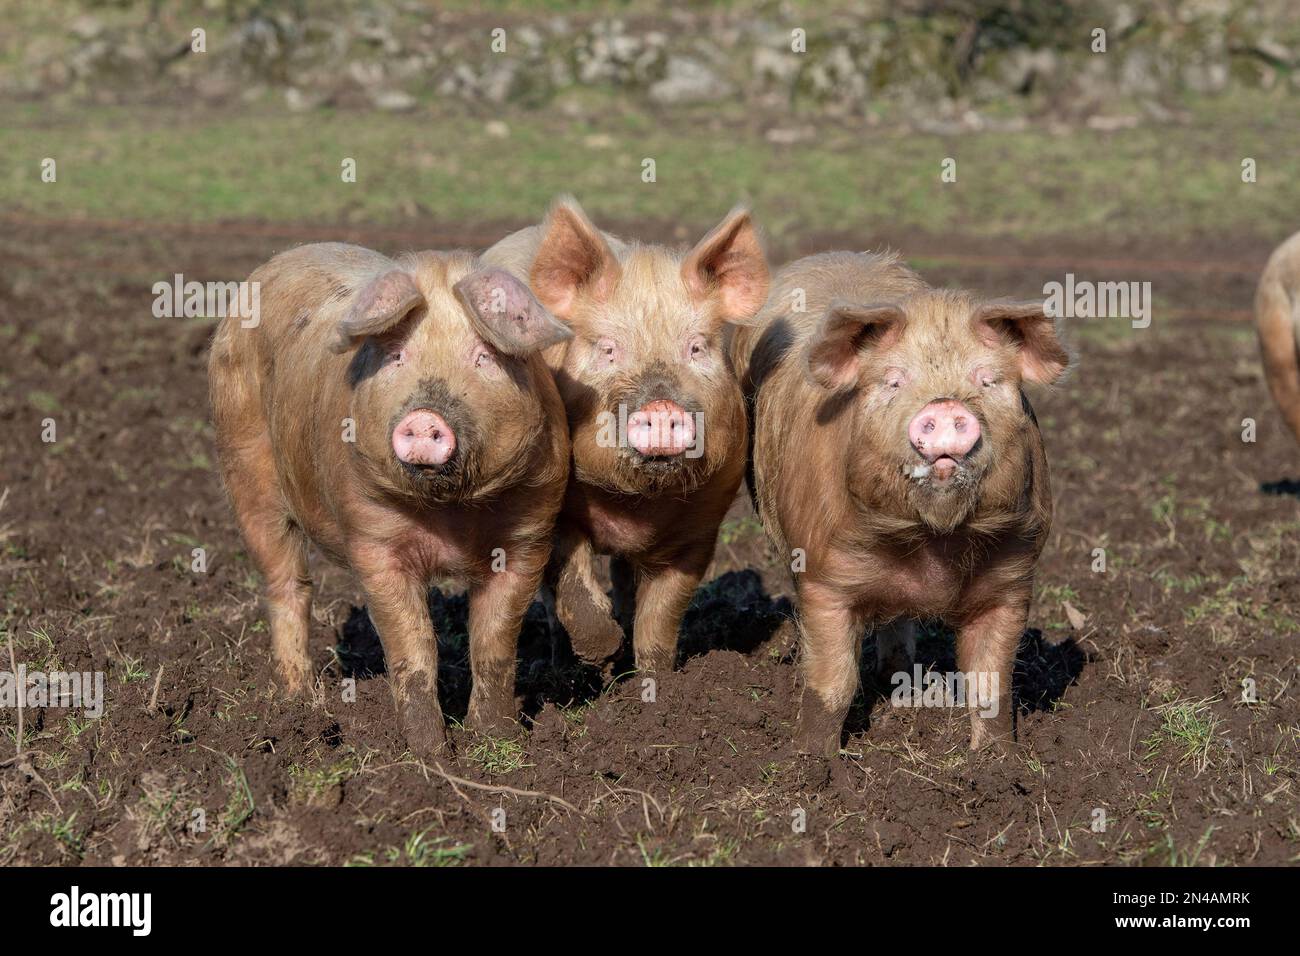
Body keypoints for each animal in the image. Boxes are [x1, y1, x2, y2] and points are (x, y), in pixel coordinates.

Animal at [208, 243, 571, 755]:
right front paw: (430, 754)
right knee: (287, 583)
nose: (424, 418)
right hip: (244, 467)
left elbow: (494, 640)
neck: (450, 511)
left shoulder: (529, 534)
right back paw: (297, 701)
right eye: (397, 355)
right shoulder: (372, 539)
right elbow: (413, 644)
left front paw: (498, 739)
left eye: (483, 356)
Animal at [481, 198, 769, 671]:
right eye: (608, 348)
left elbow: (662, 613)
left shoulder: (701, 527)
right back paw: (561, 662)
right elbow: (571, 584)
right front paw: (601, 655)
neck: (637, 503)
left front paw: (654, 677)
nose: (661, 407)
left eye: (697, 347)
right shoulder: (552, 510)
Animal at [730, 251, 1070, 755]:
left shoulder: (1013, 578)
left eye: (988, 380)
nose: (946, 407)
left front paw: (996, 761)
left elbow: (991, 683)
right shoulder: (823, 578)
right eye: (893, 381)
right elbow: (833, 683)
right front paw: (813, 759)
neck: (933, 542)